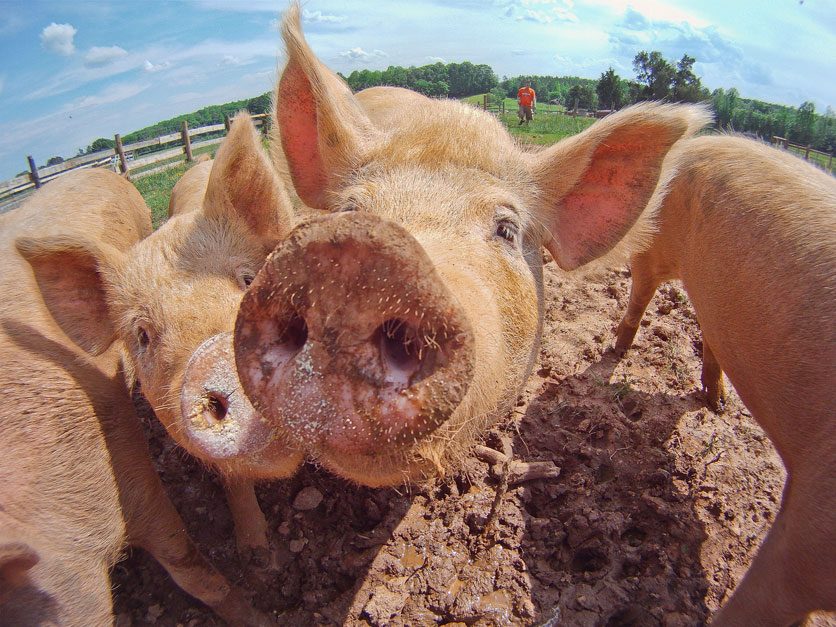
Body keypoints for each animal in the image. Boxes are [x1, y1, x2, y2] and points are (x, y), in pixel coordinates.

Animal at [612, 135, 836, 625]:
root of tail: (704, 137)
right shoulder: (815, 504)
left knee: (709, 330)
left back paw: (716, 403)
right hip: (656, 234)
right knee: (641, 285)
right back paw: (617, 349)